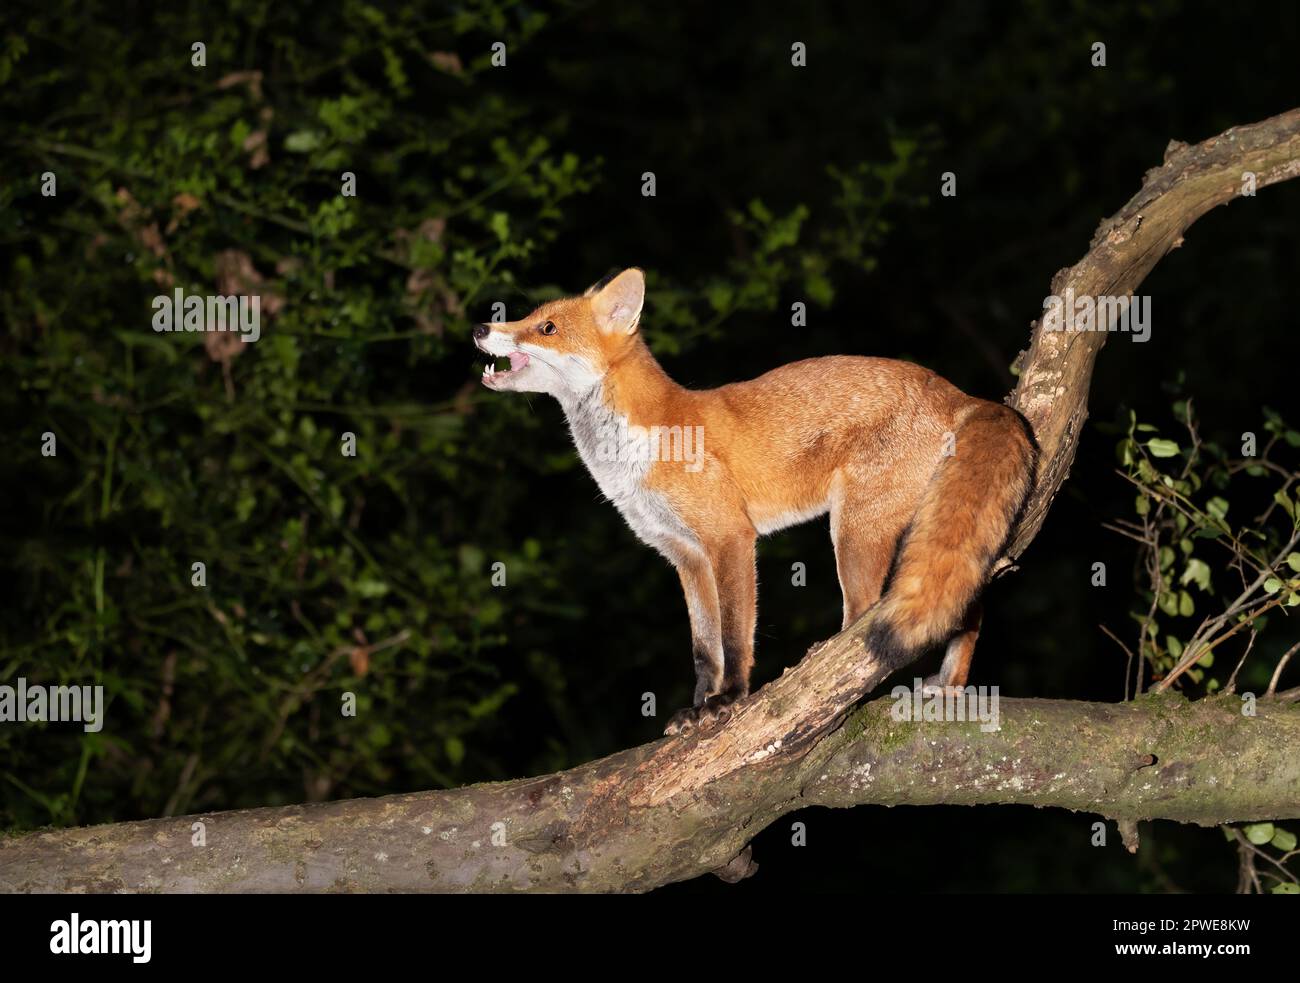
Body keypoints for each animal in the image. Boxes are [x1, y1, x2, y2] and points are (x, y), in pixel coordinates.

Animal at [473, 268, 1037, 736]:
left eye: (546, 327)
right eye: (526, 317)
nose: (479, 327)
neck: (637, 448)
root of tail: (959, 393)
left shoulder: (730, 538)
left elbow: (733, 637)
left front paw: (730, 700)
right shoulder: (685, 556)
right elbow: (704, 648)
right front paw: (697, 707)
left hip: (853, 531)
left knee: (864, 621)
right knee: (967, 607)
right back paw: (951, 684)